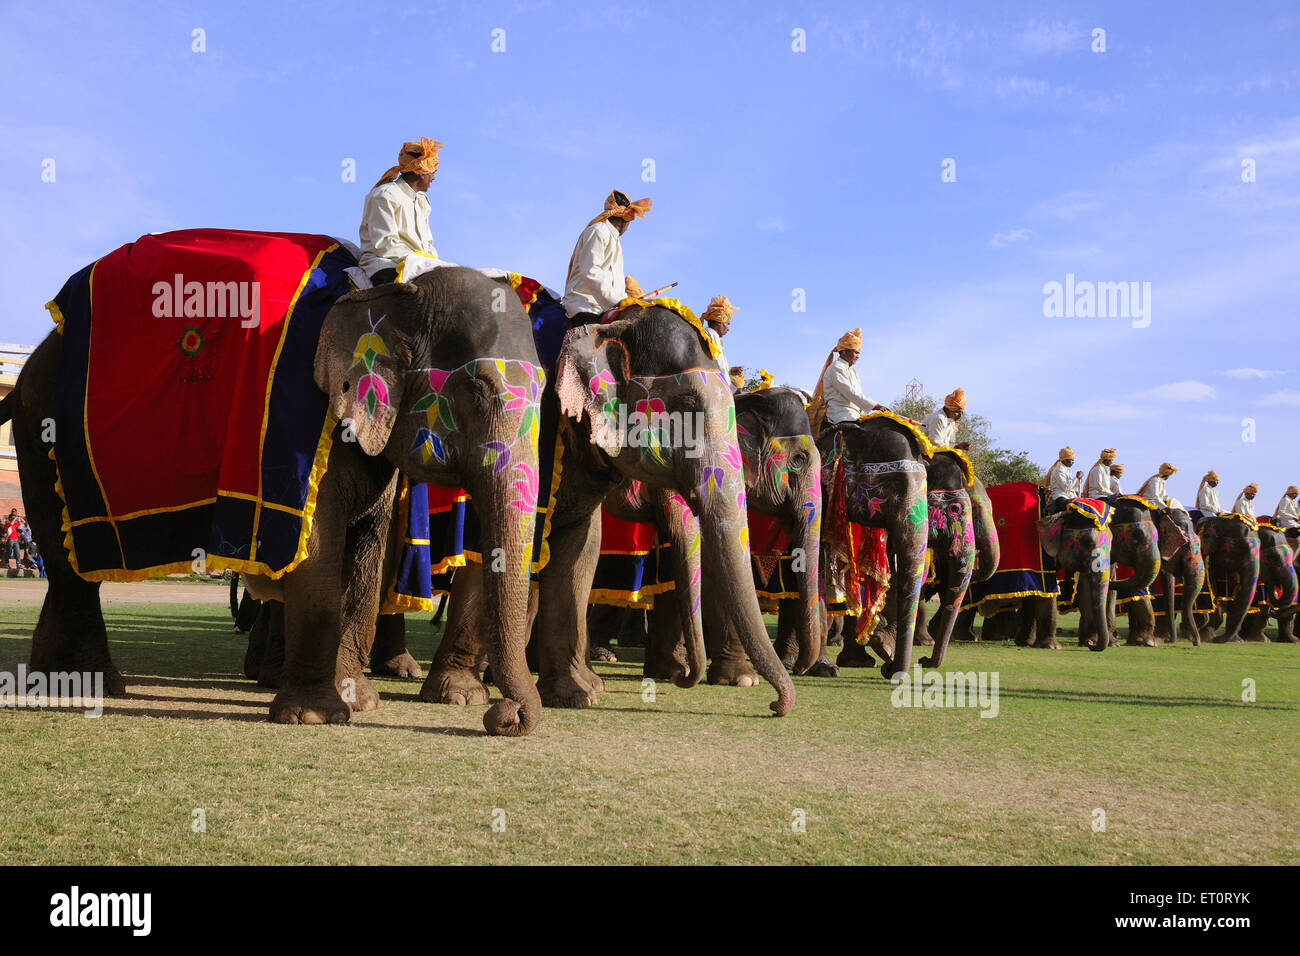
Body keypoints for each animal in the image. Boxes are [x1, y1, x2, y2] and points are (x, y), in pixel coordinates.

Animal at [3, 266, 547, 733]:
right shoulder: (301, 422)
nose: (506, 716)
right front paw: (315, 716)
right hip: (45, 431)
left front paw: (358, 702)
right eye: (479, 389)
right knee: (69, 560)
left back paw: (53, 681)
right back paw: (94, 687)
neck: (388, 293)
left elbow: (366, 555)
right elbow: (318, 546)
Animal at [417, 304, 796, 718]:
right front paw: (460, 695)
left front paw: (574, 696)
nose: (776, 706)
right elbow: (495, 536)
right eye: (688, 406)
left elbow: (581, 546)